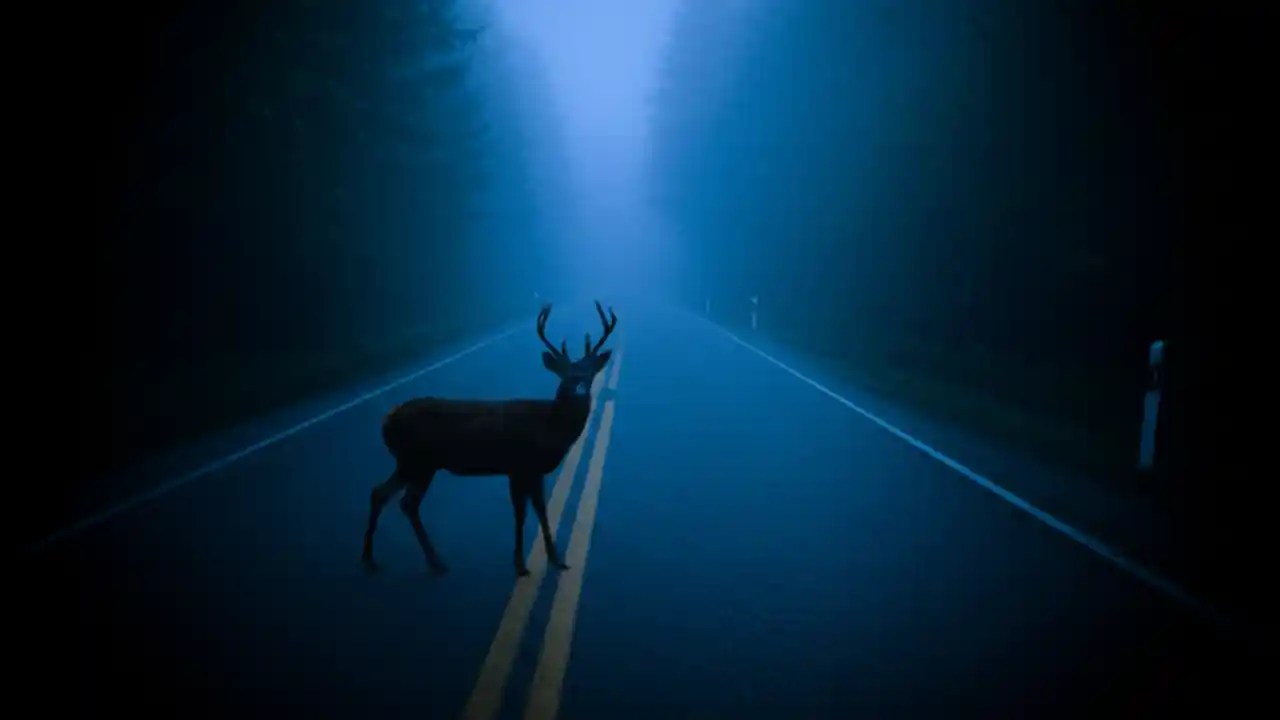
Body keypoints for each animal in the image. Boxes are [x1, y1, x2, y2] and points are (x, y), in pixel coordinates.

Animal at [361, 301, 617, 577]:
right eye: (566, 374)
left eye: (589, 373)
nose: (579, 389)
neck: (550, 428)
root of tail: (387, 419)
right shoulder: (519, 466)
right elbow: (521, 513)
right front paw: (520, 564)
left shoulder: (533, 470)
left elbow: (540, 508)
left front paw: (556, 559)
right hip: (418, 462)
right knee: (404, 502)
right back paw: (430, 561)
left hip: (412, 463)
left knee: (382, 494)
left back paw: (374, 559)